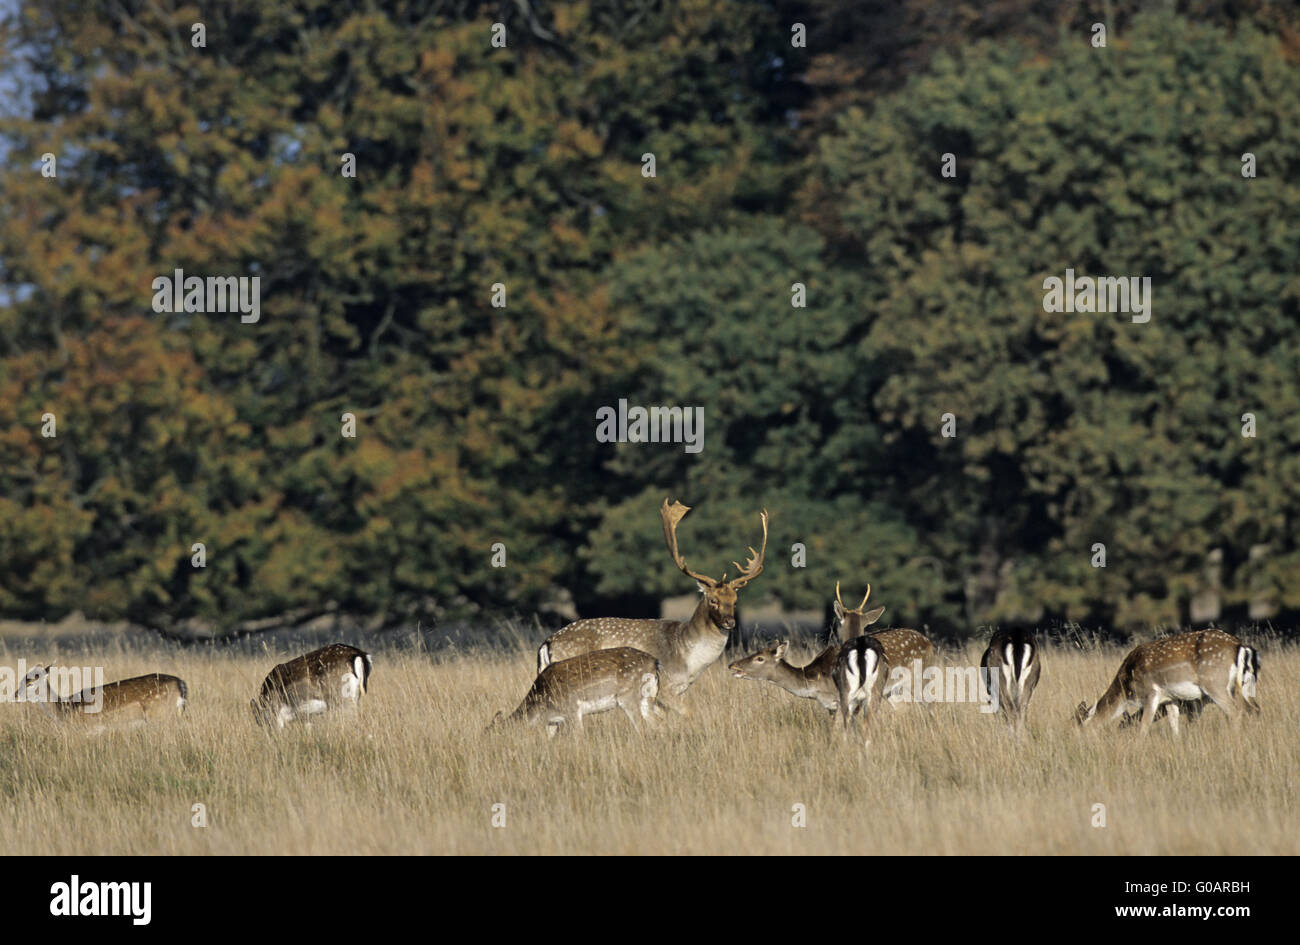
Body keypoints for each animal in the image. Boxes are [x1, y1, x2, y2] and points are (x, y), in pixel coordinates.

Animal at [19, 666, 187, 732]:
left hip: (161, 715)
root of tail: (181, 683)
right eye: (21, 680)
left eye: (30, 683)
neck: (63, 708)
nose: (16, 694)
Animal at [492, 647, 664, 736]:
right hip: (647, 697)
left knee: (642, 726)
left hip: (628, 696)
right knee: (657, 722)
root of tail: (655, 662)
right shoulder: (553, 720)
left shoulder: (572, 709)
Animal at [537, 499, 767, 710]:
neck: (688, 659)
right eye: (713, 600)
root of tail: (549, 642)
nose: (730, 622)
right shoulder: (665, 686)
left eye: (735, 601)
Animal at [1075, 629, 1260, 736]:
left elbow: (1144, 727)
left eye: (1082, 727)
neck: (1127, 690)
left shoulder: (1151, 692)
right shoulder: (1170, 698)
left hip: (1215, 684)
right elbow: (1174, 724)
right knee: (1254, 709)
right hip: (1246, 686)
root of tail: (1241, 646)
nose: (1078, 742)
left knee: (1235, 712)